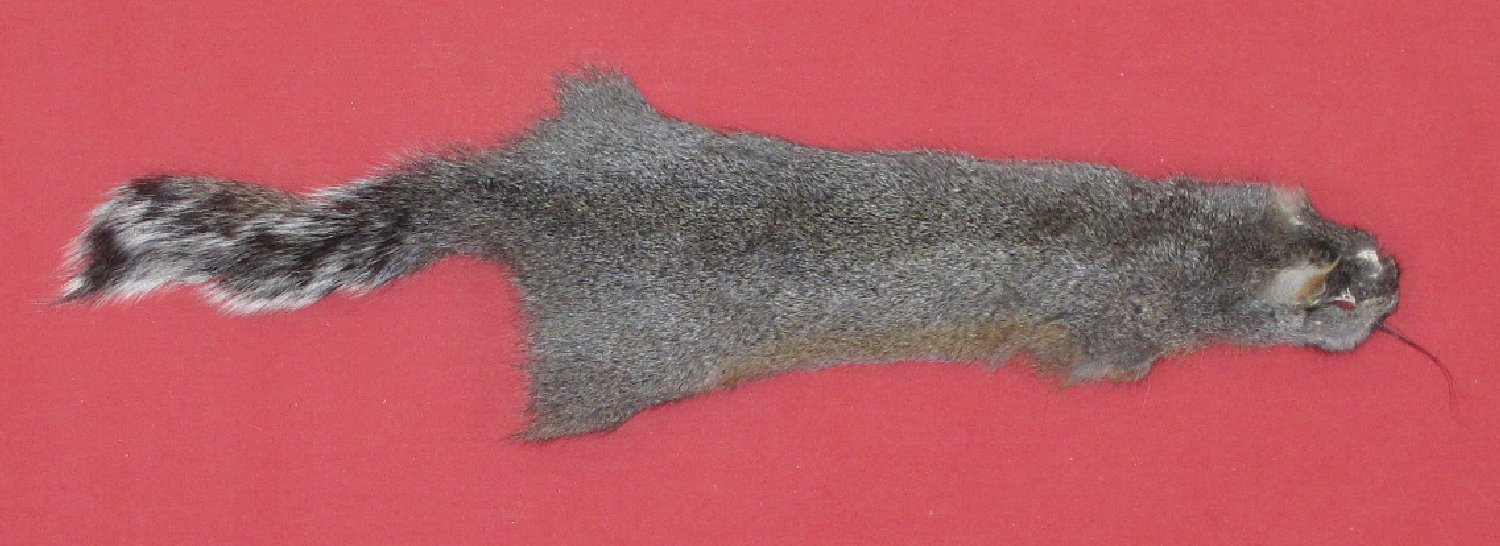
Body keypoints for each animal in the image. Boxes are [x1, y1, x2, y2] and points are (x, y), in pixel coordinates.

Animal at [59, 69, 1400, 440]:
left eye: (1369, 247)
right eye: (1346, 305)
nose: (1400, 285)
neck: (1196, 237)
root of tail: (522, 195)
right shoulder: (1122, 327)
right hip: (617, 370)